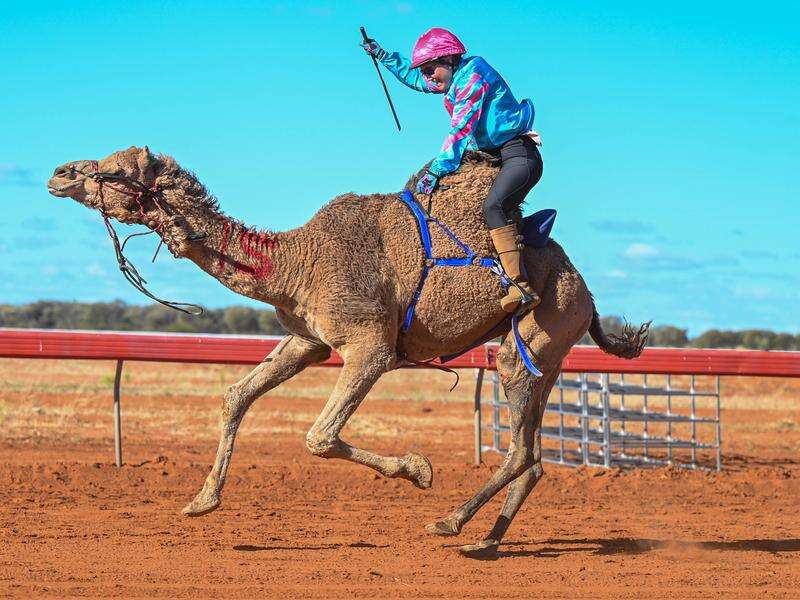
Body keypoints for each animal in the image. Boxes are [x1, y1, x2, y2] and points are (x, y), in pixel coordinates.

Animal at [47, 145, 647, 559]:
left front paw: (418, 469)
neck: (295, 260)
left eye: (114, 168)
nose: (58, 173)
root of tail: (587, 293)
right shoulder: (309, 341)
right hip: (546, 356)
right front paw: (202, 501)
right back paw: (486, 541)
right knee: (535, 456)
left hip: (537, 334)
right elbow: (237, 395)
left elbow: (319, 437)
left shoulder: (368, 346)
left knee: (521, 449)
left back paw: (450, 523)